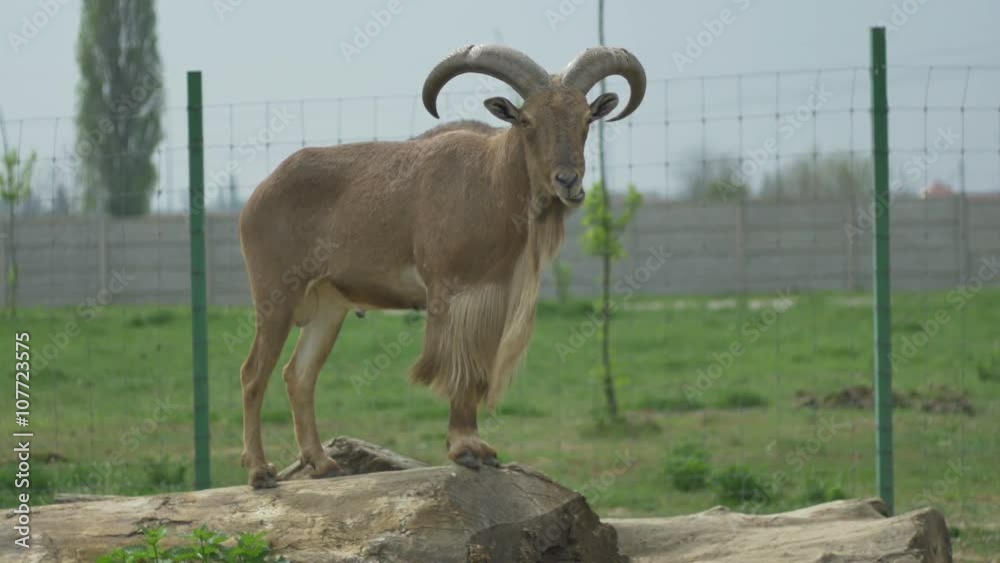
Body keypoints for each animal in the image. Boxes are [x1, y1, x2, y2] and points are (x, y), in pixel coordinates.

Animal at [238, 44, 645, 488]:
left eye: (586, 119)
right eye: (526, 120)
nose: (568, 181)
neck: (492, 182)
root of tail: (260, 193)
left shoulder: (493, 299)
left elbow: (477, 373)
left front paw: (482, 450)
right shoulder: (451, 293)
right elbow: (458, 371)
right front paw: (465, 449)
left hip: (328, 307)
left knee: (299, 375)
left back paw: (323, 463)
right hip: (275, 295)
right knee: (254, 373)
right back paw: (260, 471)